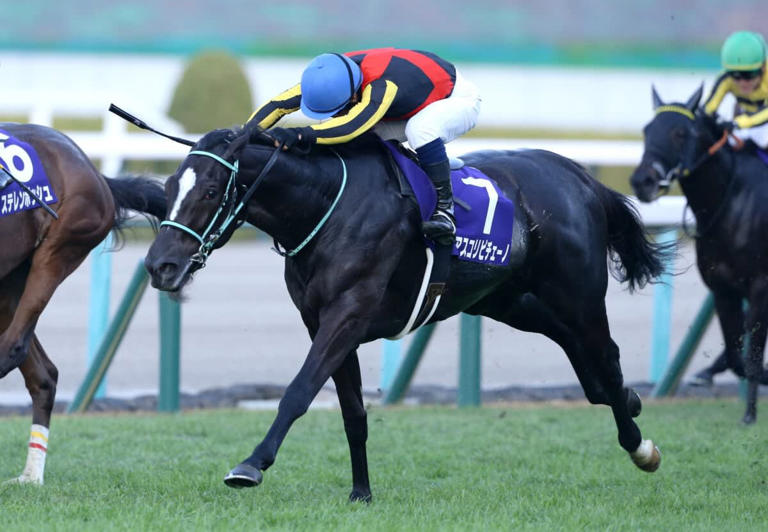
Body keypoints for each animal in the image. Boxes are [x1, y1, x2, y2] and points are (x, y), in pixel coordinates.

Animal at [144, 123, 667, 501]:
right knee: (591, 367)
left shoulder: (347, 314)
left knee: (606, 356)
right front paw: (361, 492)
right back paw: (631, 400)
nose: (159, 265)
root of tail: (581, 177)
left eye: (211, 191)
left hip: (577, 296)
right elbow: (352, 410)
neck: (327, 205)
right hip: (513, 301)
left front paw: (252, 464)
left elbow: (299, 391)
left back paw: (640, 445)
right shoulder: (323, 321)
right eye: (168, 187)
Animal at [629, 86, 768, 424]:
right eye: (647, 130)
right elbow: (736, 353)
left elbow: (753, 351)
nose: (643, 181)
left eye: (680, 132)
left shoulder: (761, 285)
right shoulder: (722, 288)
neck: (731, 201)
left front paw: (750, 413)